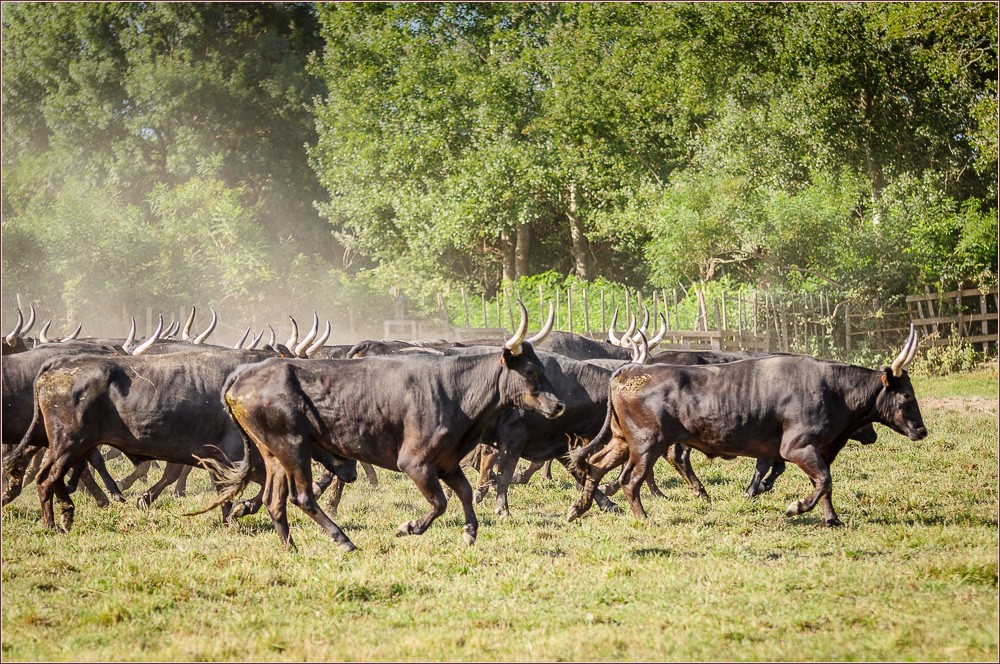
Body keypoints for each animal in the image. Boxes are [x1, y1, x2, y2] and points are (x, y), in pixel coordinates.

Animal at [223, 340, 564, 552]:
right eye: (530, 370)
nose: (558, 405)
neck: (454, 390)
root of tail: (241, 376)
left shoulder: (446, 461)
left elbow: (465, 492)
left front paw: (470, 533)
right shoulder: (415, 463)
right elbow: (439, 502)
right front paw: (409, 527)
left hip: (273, 453)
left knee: (274, 500)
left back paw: (290, 547)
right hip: (293, 448)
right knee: (302, 497)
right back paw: (343, 540)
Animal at [568, 350, 924, 528]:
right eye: (907, 395)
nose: (922, 430)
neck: (831, 388)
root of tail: (628, 371)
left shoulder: (818, 450)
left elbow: (823, 483)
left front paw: (831, 519)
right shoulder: (795, 448)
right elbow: (822, 480)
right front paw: (795, 507)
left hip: (621, 441)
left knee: (595, 466)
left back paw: (579, 508)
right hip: (646, 444)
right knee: (630, 479)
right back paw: (644, 518)